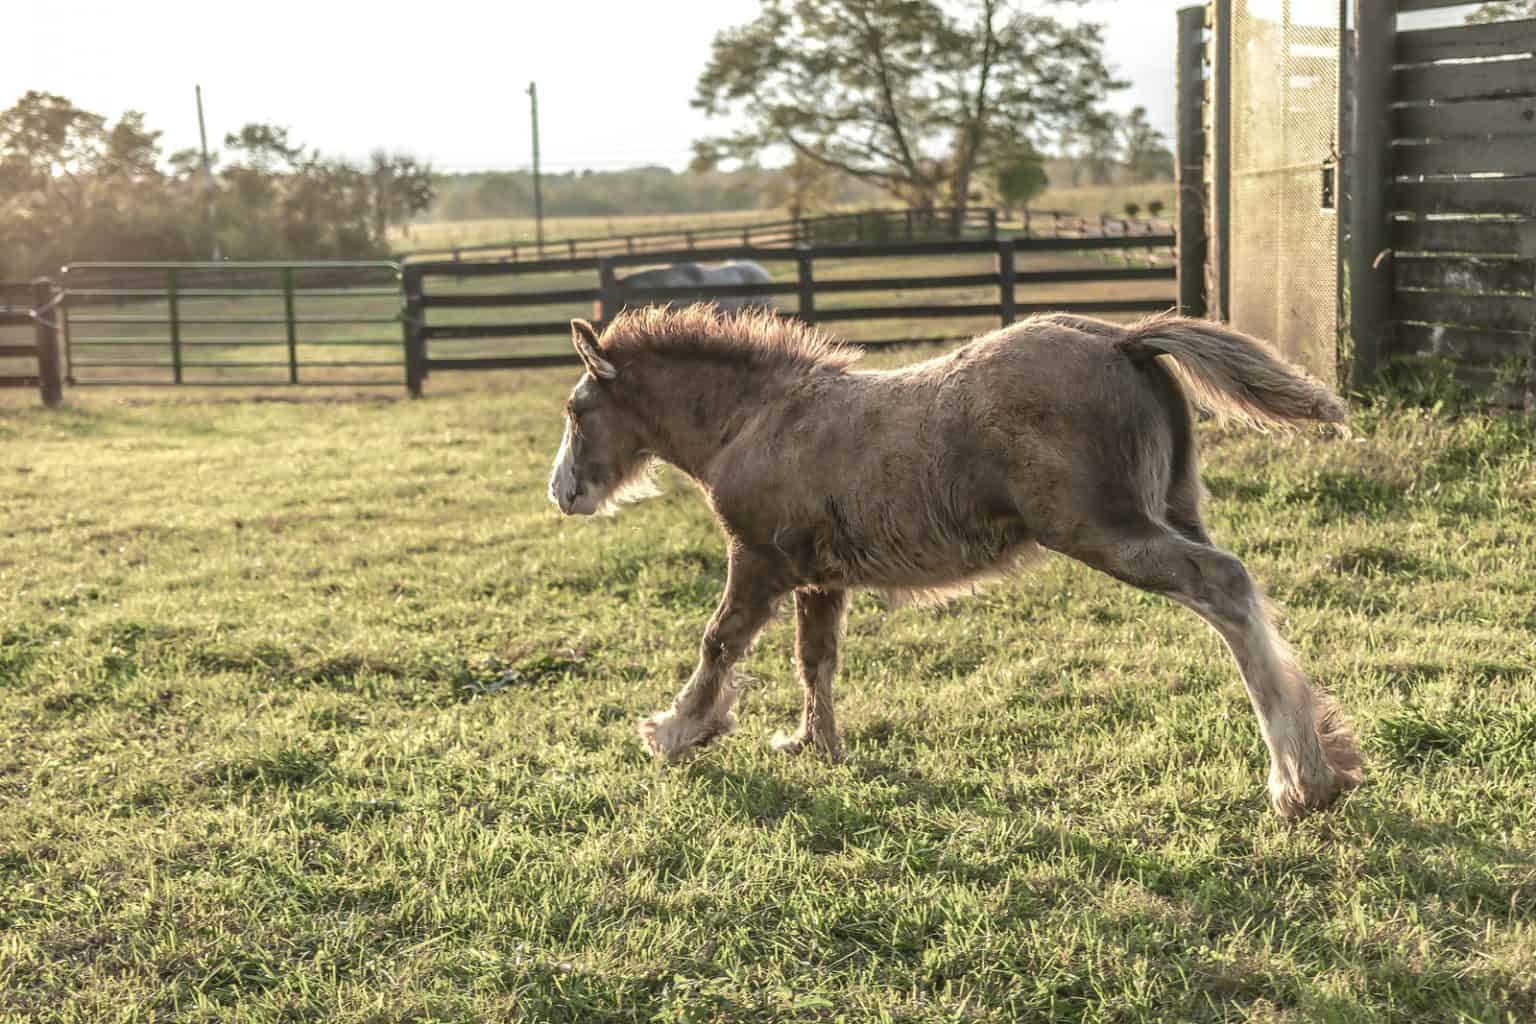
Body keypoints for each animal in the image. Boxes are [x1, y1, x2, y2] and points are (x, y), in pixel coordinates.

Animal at [546, 305, 1365, 817]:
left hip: (1106, 530)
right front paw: (814, 745)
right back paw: (1330, 755)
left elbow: (718, 643)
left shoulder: (757, 561)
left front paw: (676, 730)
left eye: (578, 411)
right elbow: (817, 661)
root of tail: (1124, 341)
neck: (756, 420)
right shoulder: (821, 578)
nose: (563, 493)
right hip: (1172, 509)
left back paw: (1298, 783)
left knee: (1224, 586)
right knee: (1243, 597)